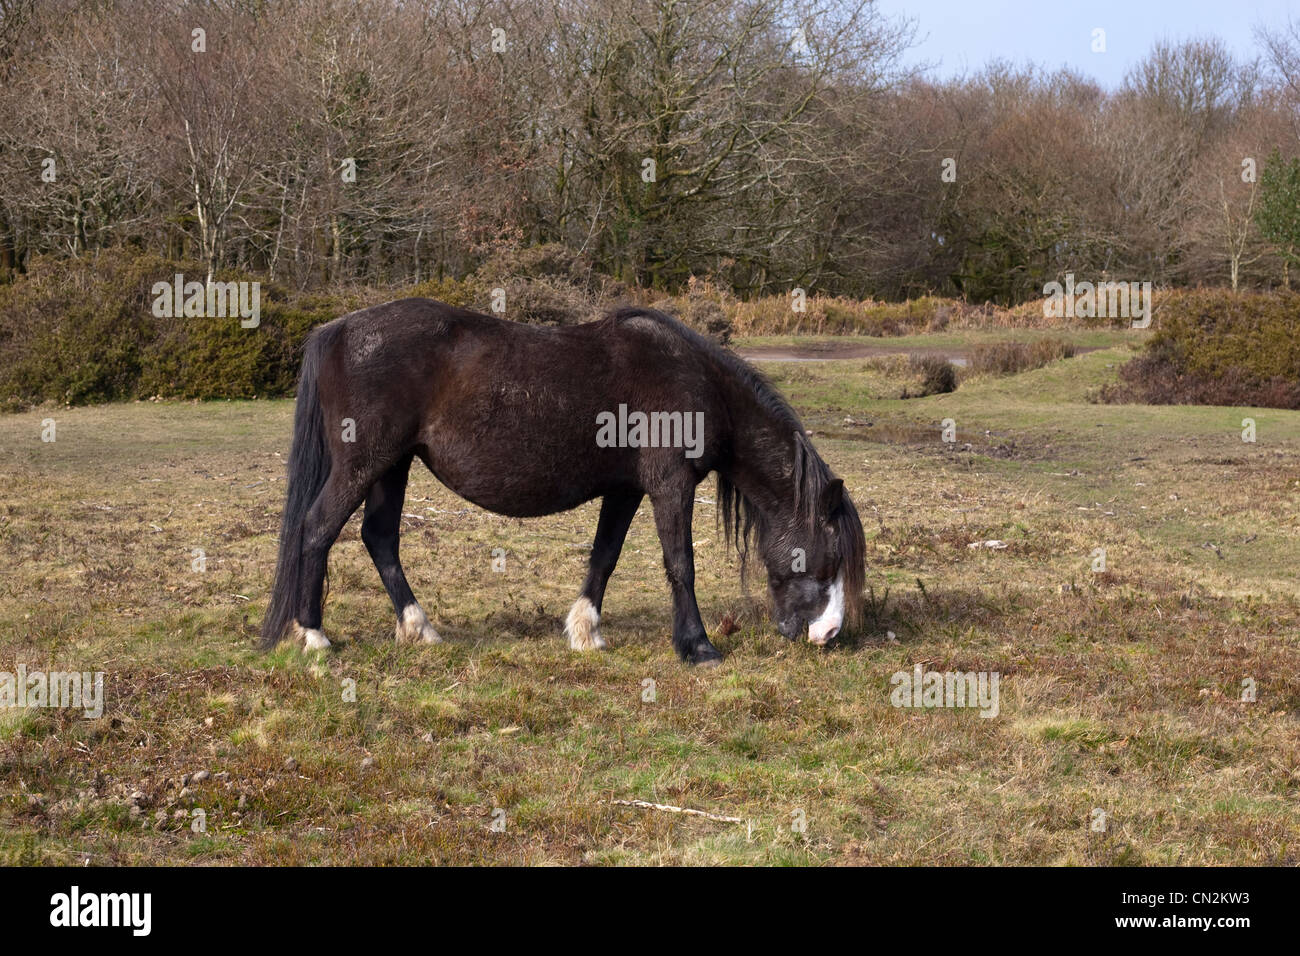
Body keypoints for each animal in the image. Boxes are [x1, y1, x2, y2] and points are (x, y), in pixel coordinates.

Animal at [260, 299, 865, 665]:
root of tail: (340, 329)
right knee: (317, 530)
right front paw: (697, 647)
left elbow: (605, 556)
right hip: (365, 464)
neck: (694, 380)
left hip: (393, 465)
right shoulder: (670, 485)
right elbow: (680, 563)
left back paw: (418, 627)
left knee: (380, 538)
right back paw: (314, 637)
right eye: (830, 554)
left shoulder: (626, 488)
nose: (830, 634)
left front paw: (585, 631)